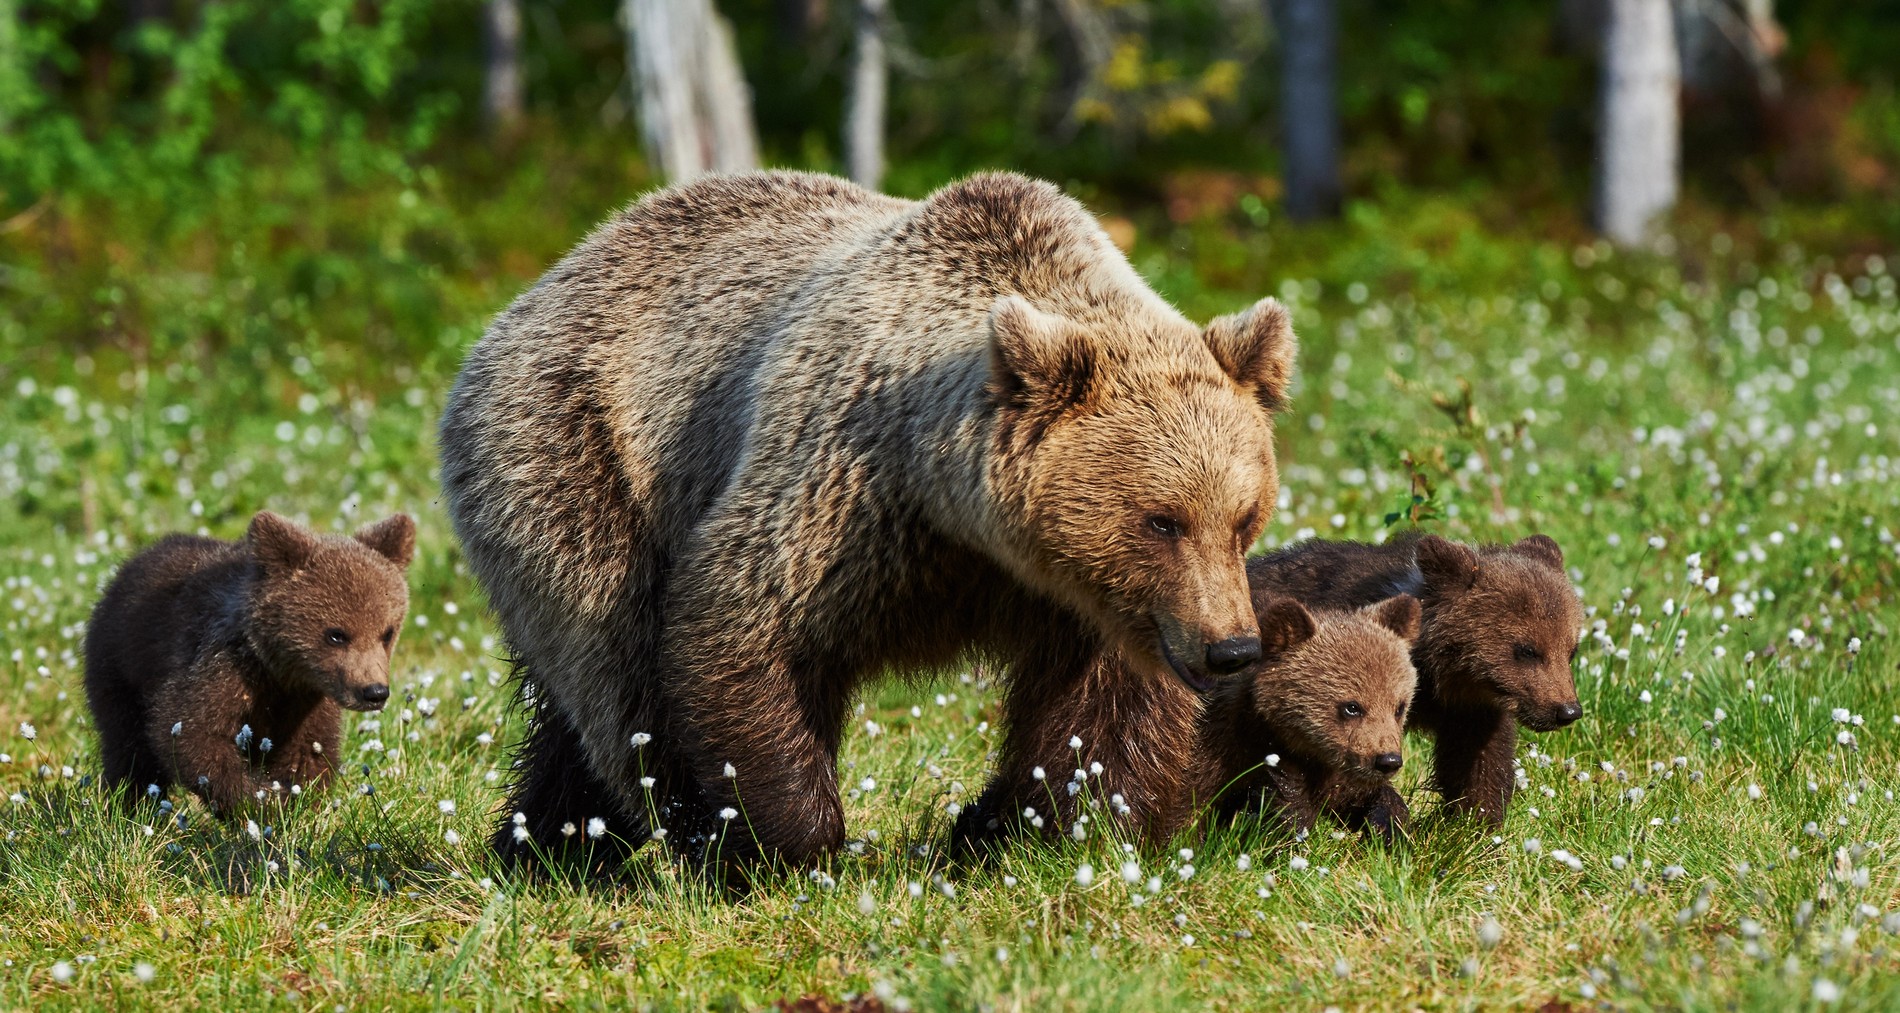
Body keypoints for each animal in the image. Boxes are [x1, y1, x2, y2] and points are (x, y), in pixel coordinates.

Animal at [83, 511, 414, 814]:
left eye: (387, 632)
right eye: (337, 634)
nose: (374, 691)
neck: (280, 671)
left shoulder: (307, 698)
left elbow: (308, 751)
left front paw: (293, 804)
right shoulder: (221, 663)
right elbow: (188, 729)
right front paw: (256, 804)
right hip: (118, 669)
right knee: (130, 748)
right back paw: (131, 805)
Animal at [438, 170, 1297, 869]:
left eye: (1243, 516)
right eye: (1163, 520)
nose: (1231, 647)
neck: (965, 524)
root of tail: (540, 288)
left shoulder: (1092, 602)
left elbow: (1103, 712)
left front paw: (1059, 828)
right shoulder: (843, 494)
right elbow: (741, 623)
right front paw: (788, 841)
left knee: (574, 723)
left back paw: (543, 843)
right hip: (576, 459)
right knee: (619, 671)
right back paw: (659, 830)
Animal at [1194, 594, 1421, 842]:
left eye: (1399, 707)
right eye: (1352, 707)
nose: (1387, 761)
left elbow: (1371, 795)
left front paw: (1387, 828)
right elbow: (1285, 806)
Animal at [1246, 532, 1585, 825]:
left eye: (1571, 650)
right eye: (1527, 650)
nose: (1567, 710)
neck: (1437, 678)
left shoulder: (1473, 710)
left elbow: (1480, 765)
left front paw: (1475, 827)